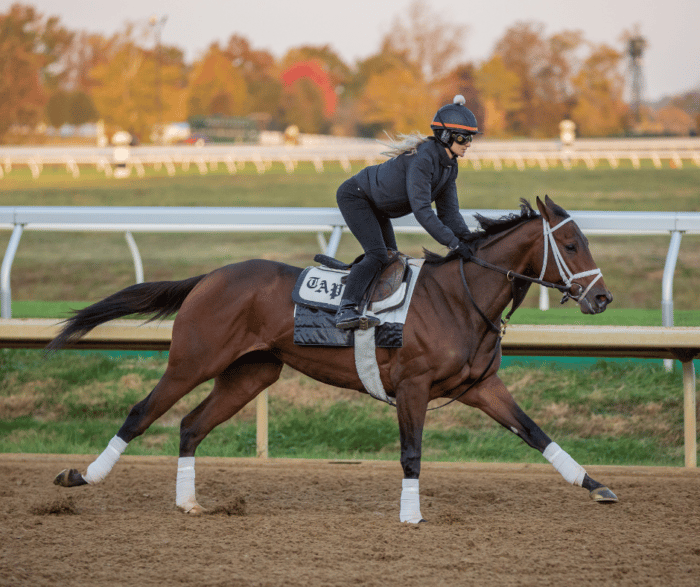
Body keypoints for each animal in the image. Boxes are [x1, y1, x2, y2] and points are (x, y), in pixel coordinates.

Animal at [51, 196, 617, 523]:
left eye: (586, 240)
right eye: (571, 244)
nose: (603, 297)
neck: (460, 298)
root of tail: (209, 276)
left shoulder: (480, 387)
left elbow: (536, 432)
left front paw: (595, 486)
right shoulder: (413, 387)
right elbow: (411, 453)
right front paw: (410, 516)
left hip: (251, 373)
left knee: (191, 424)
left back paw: (189, 502)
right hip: (193, 361)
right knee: (141, 413)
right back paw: (82, 477)